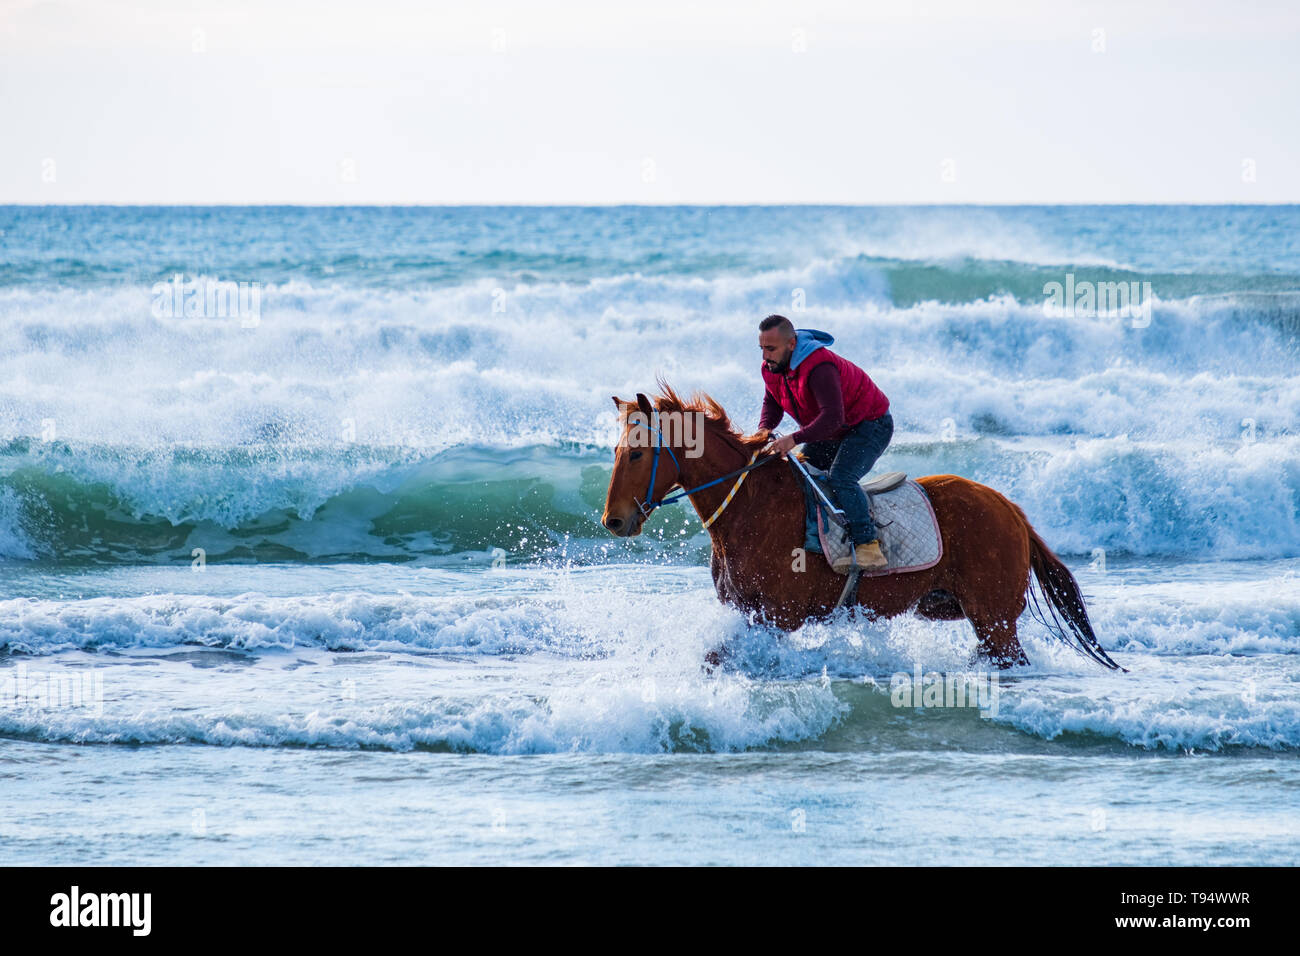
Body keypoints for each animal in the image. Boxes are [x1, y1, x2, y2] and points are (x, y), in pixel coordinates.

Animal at [600, 382, 1122, 671]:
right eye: (616, 450)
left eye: (639, 453)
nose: (613, 520)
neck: (749, 507)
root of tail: (1011, 509)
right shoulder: (748, 614)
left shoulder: (777, 618)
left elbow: (719, 657)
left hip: (994, 619)